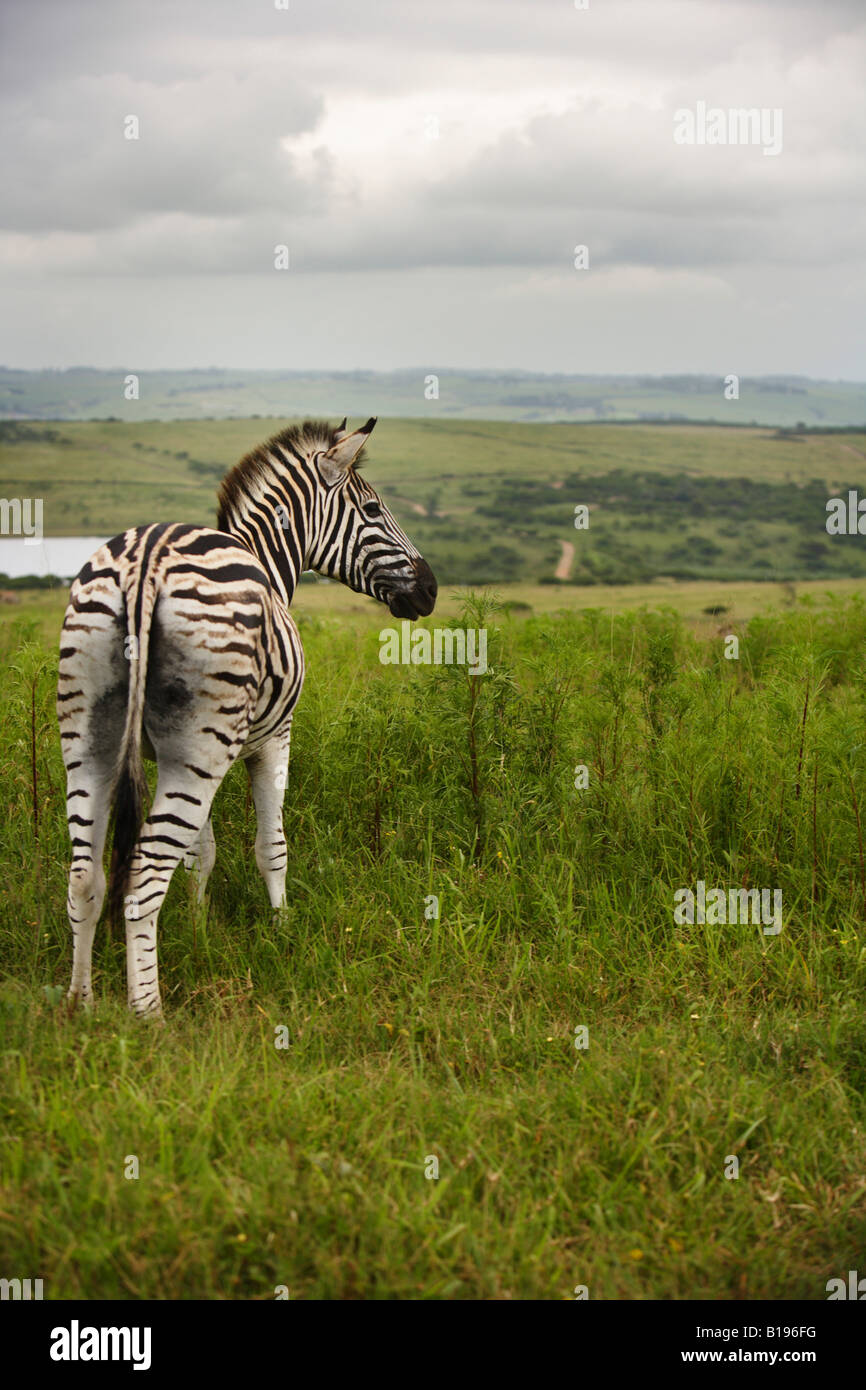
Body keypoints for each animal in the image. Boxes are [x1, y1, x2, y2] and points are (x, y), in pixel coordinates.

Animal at [57, 417, 437, 1018]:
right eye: (374, 509)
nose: (430, 590)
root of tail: (146, 562)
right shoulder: (272, 739)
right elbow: (271, 846)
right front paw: (283, 932)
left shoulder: (178, 756)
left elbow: (201, 853)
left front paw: (199, 932)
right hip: (197, 749)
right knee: (142, 879)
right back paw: (148, 1014)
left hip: (90, 740)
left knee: (84, 876)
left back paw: (82, 1004)